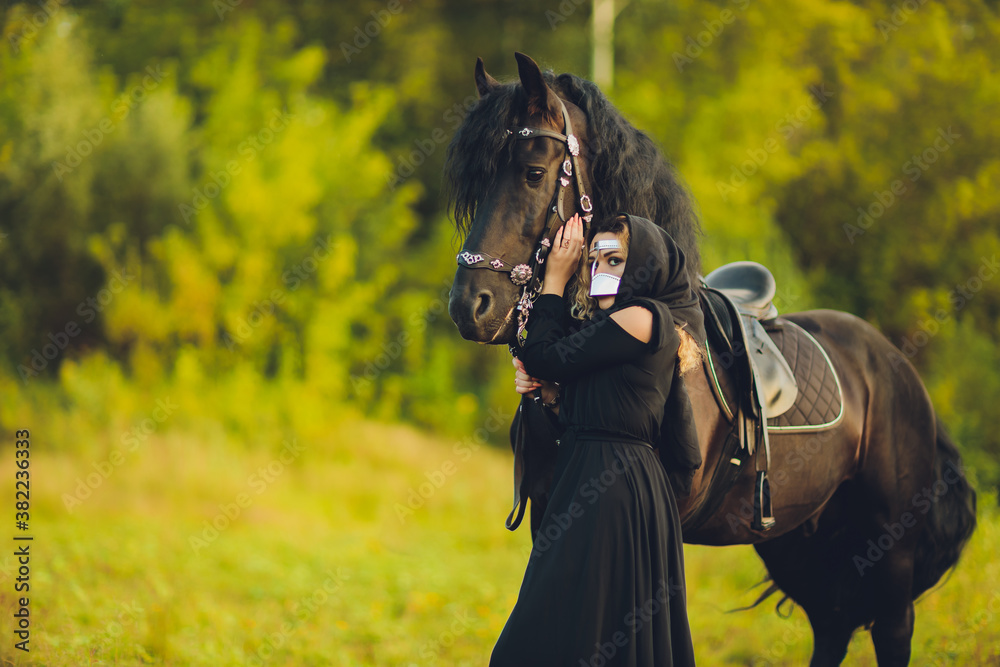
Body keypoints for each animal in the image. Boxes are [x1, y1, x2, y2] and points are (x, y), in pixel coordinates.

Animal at [445, 53, 977, 666]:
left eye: (533, 173)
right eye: (473, 184)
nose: (469, 307)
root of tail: (898, 367)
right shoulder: (547, 515)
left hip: (890, 555)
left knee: (891, 632)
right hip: (803, 542)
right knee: (832, 628)